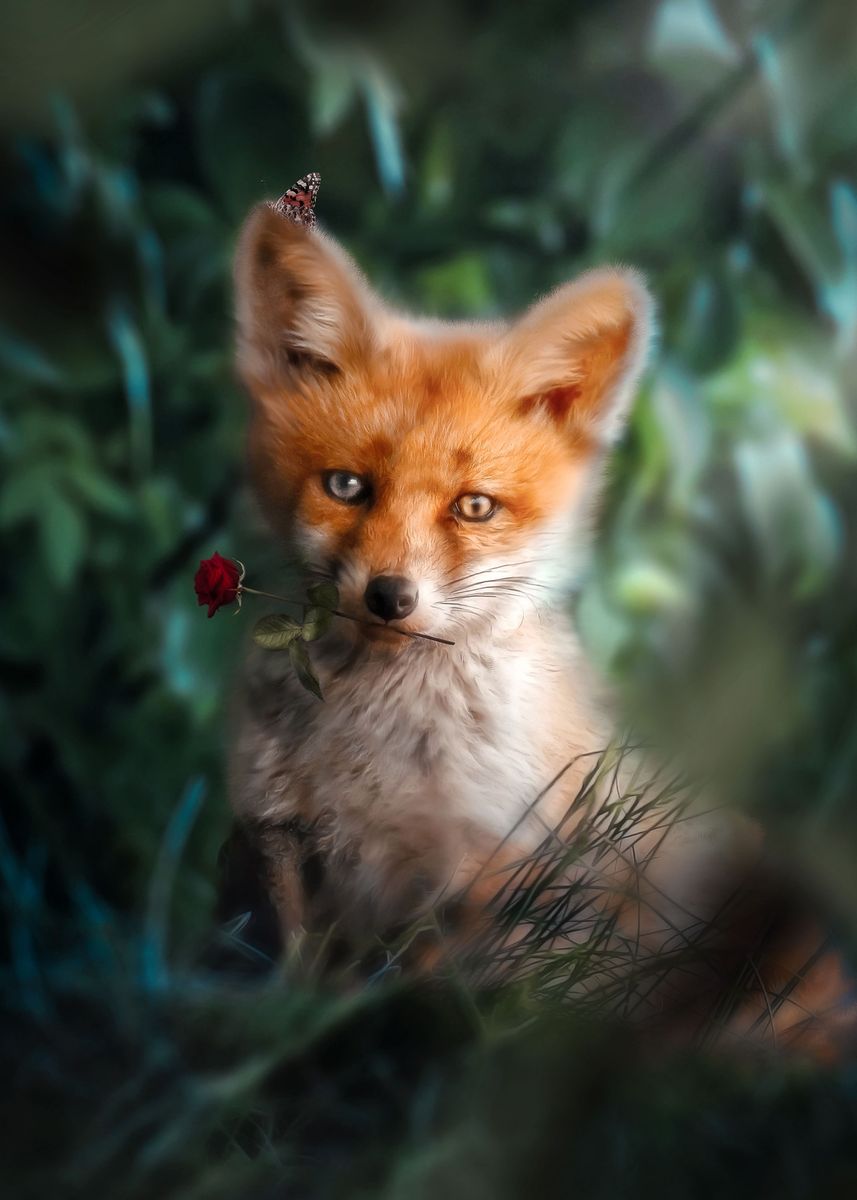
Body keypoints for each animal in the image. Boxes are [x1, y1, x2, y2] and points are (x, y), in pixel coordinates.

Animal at [225, 202, 855, 1057]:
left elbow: (439, 996)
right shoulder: (280, 837)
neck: (381, 750)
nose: (389, 597)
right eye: (346, 486)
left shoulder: (487, 866)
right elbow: (296, 981)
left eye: (474, 507)